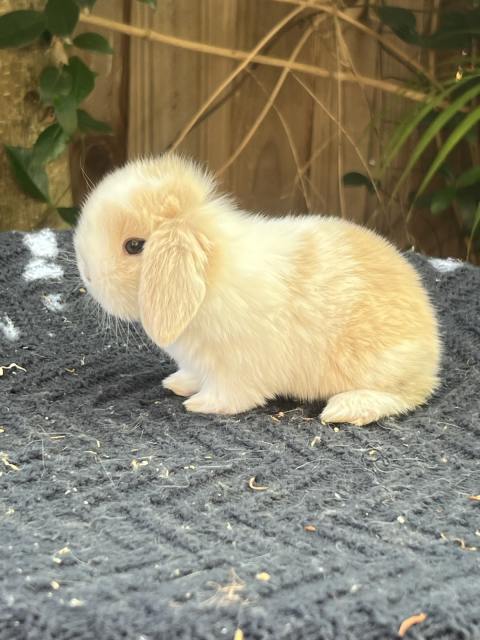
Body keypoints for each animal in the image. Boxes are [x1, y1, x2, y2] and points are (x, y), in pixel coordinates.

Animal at [74, 153, 441, 426]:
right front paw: (179, 384)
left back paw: (345, 408)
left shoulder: (237, 367)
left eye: (134, 246)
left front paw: (200, 404)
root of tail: (433, 351)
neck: (208, 280)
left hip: (384, 368)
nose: (87, 275)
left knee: (402, 397)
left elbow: (231, 395)